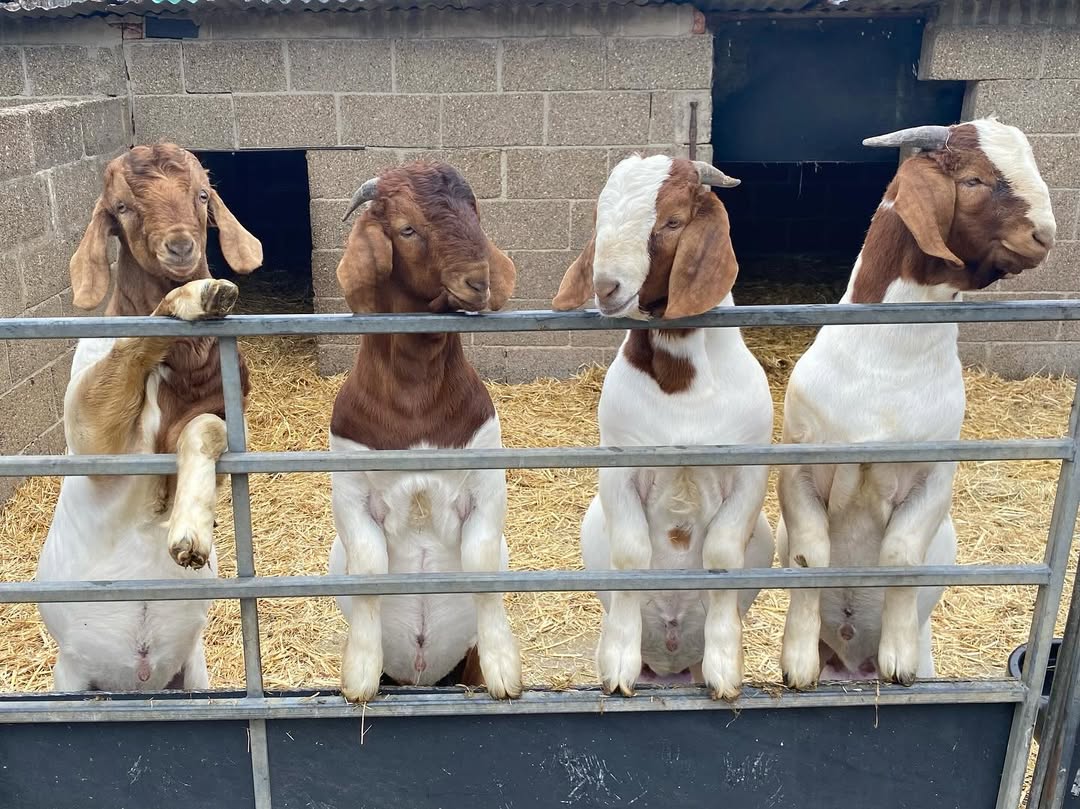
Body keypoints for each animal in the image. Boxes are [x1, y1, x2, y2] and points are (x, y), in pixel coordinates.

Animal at [35, 143, 263, 692]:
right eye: (120, 206)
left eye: (201, 194)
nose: (180, 248)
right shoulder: (89, 430)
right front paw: (199, 296)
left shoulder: (223, 415)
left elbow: (207, 429)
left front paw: (189, 537)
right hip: (68, 678)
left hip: (194, 674)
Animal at [329, 160, 522, 703]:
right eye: (407, 229)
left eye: (473, 212)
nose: (478, 280)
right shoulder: (349, 485)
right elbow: (368, 567)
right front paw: (359, 675)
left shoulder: (485, 476)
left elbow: (481, 561)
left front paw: (504, 670)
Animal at [552, 154, 774, 700]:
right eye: (599, 216)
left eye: (673, 221)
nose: (605, 287)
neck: (683, 390)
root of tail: (671, 662)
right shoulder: (620, 468)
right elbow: (631, 556)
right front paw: (619, 668)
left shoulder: (749, 472)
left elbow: (723, 555)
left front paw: (725, 671)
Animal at [778, 119, 1056, 690]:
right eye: (973, 180)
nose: (1045, 236)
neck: (887, 367)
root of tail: (848, 657)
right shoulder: (800, 465)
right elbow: (809, 555)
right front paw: (797, 666)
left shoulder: (932, 475)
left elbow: (903, 557)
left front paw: (898, 665)